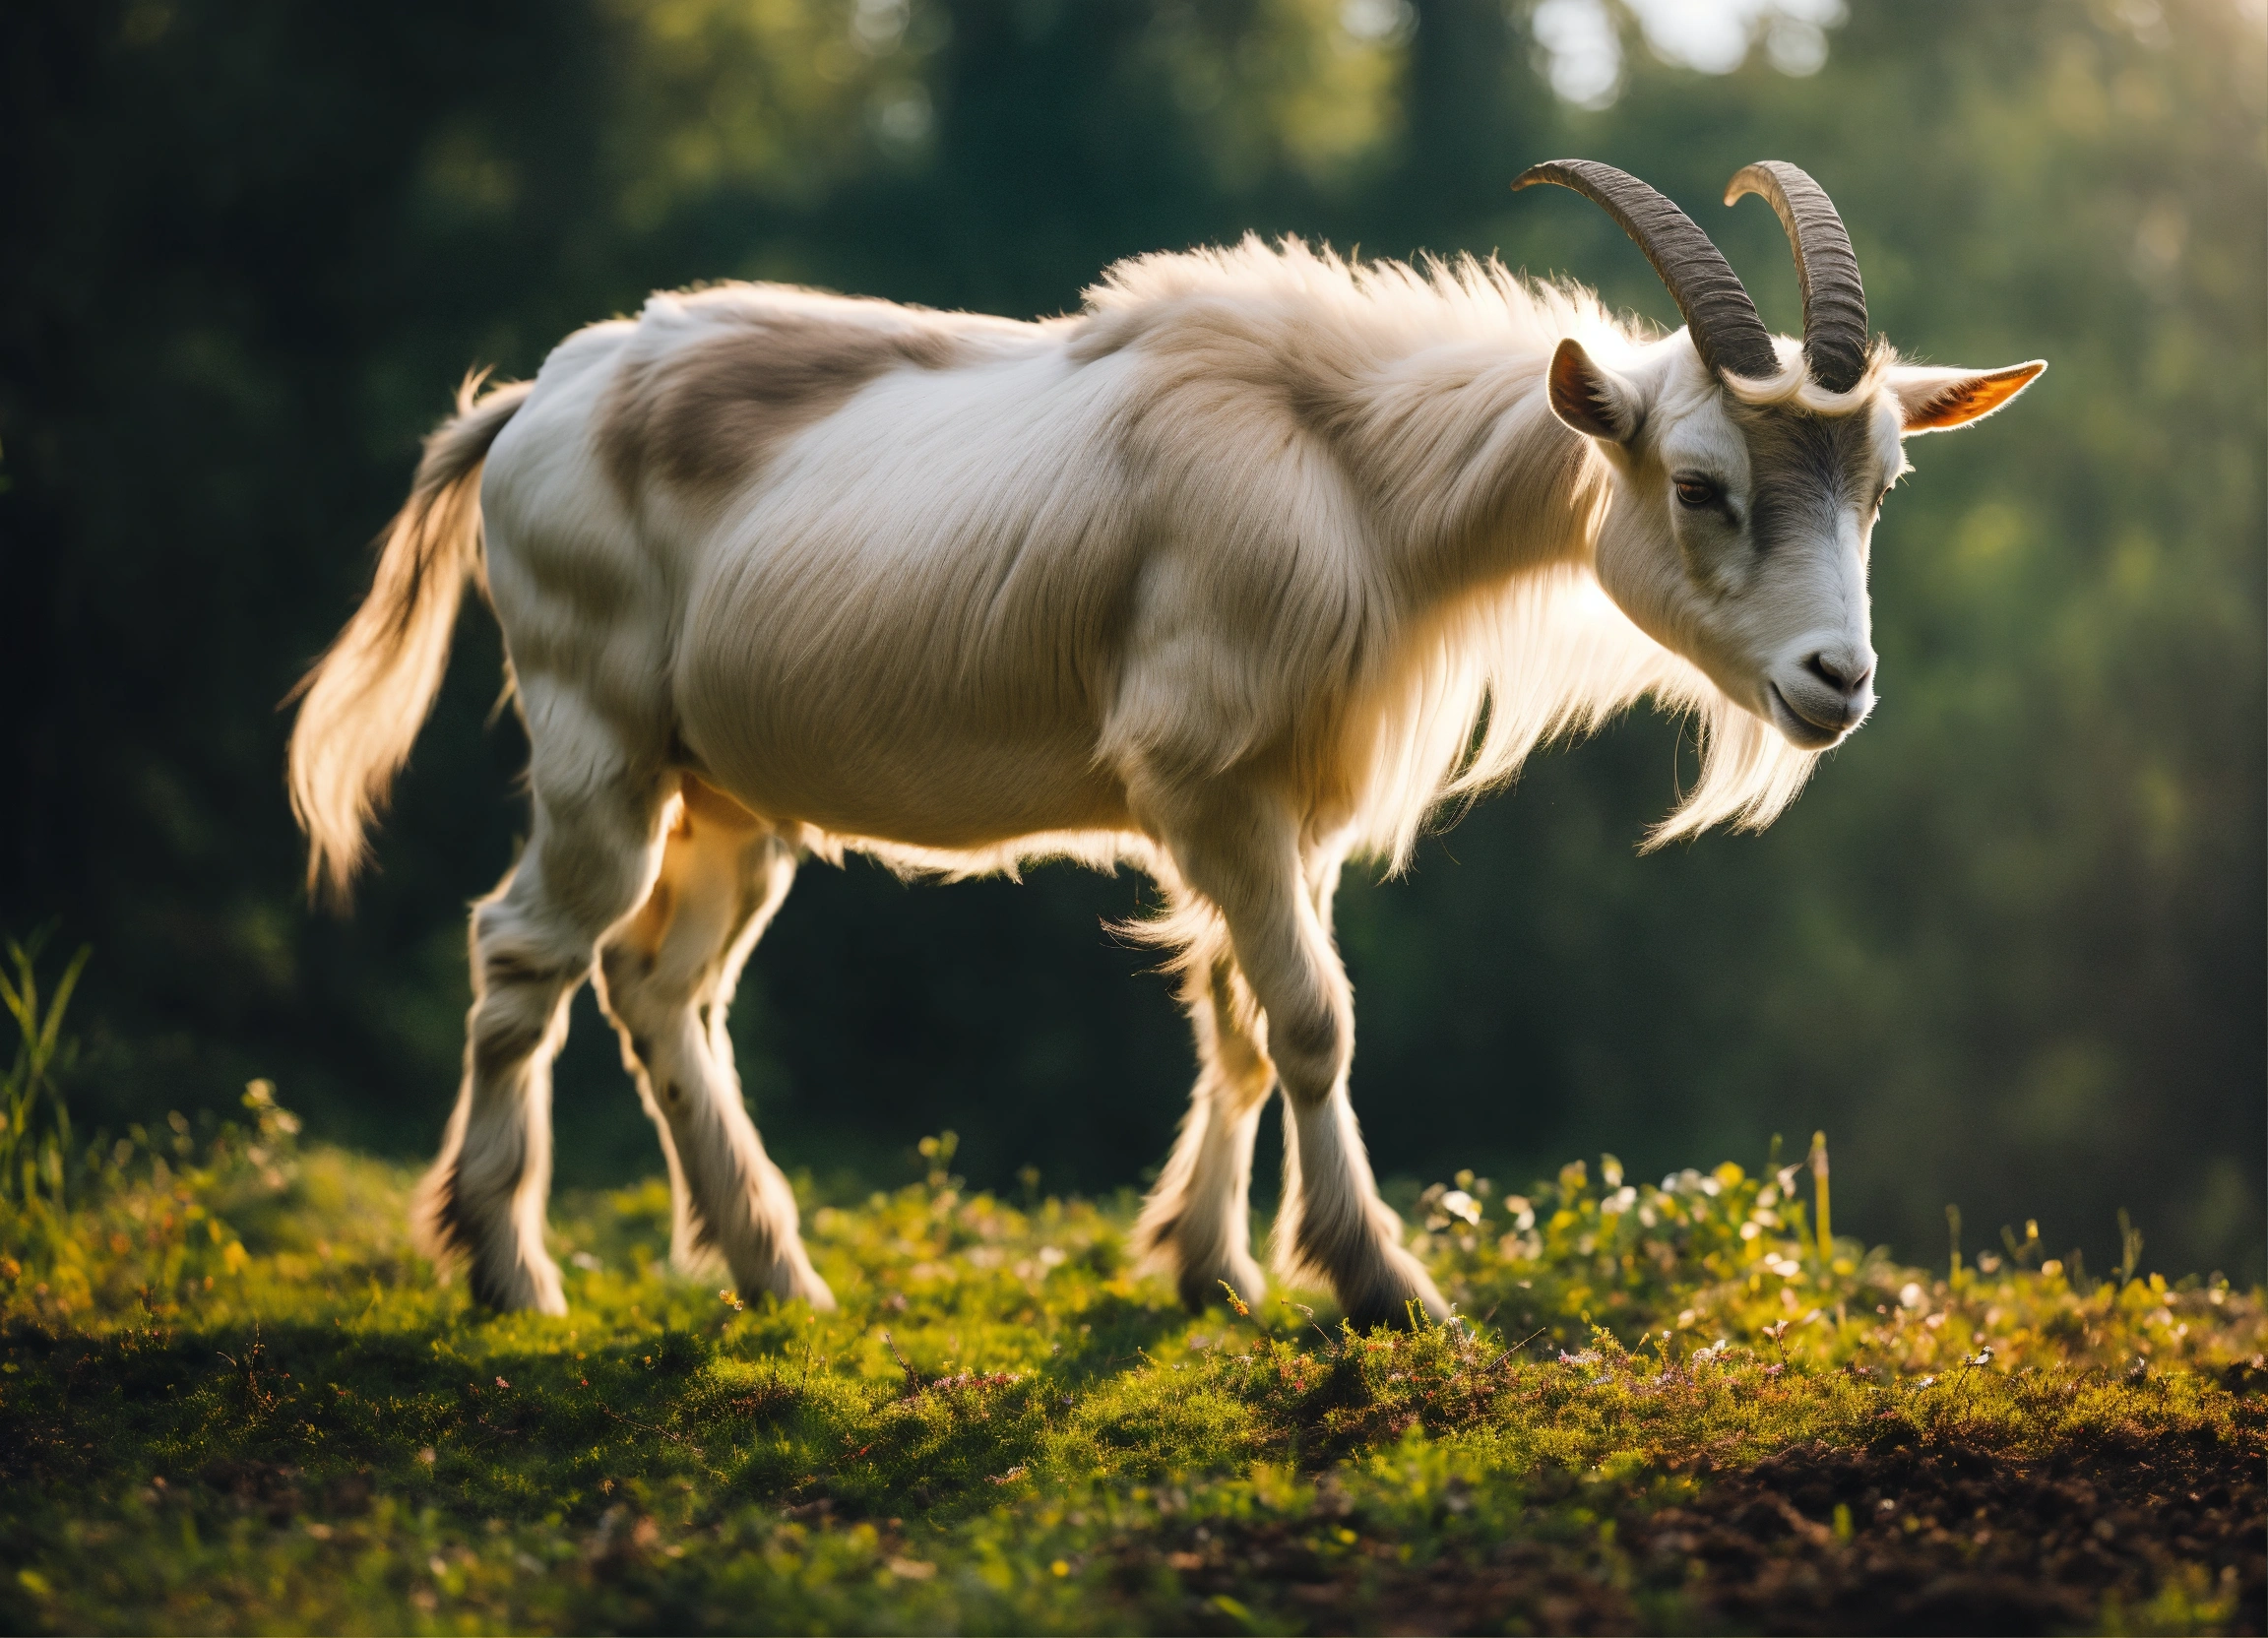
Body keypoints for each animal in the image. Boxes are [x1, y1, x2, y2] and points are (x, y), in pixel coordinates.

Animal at [288, 160, 2041, 1326]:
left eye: (1883, 484)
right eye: (1701, 484)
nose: (1835, 681)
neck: (1343, 463)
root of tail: (531, 403)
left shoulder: (1286, 804)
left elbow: (1244, 1026)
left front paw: (1213, 1271)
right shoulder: (1203, 780)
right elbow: (1313, 1019)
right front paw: (1380, 1284)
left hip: (729, 793)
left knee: (662, 987)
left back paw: (778, 1279)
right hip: (598, 739)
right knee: (524, 949)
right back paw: (512, 1275)